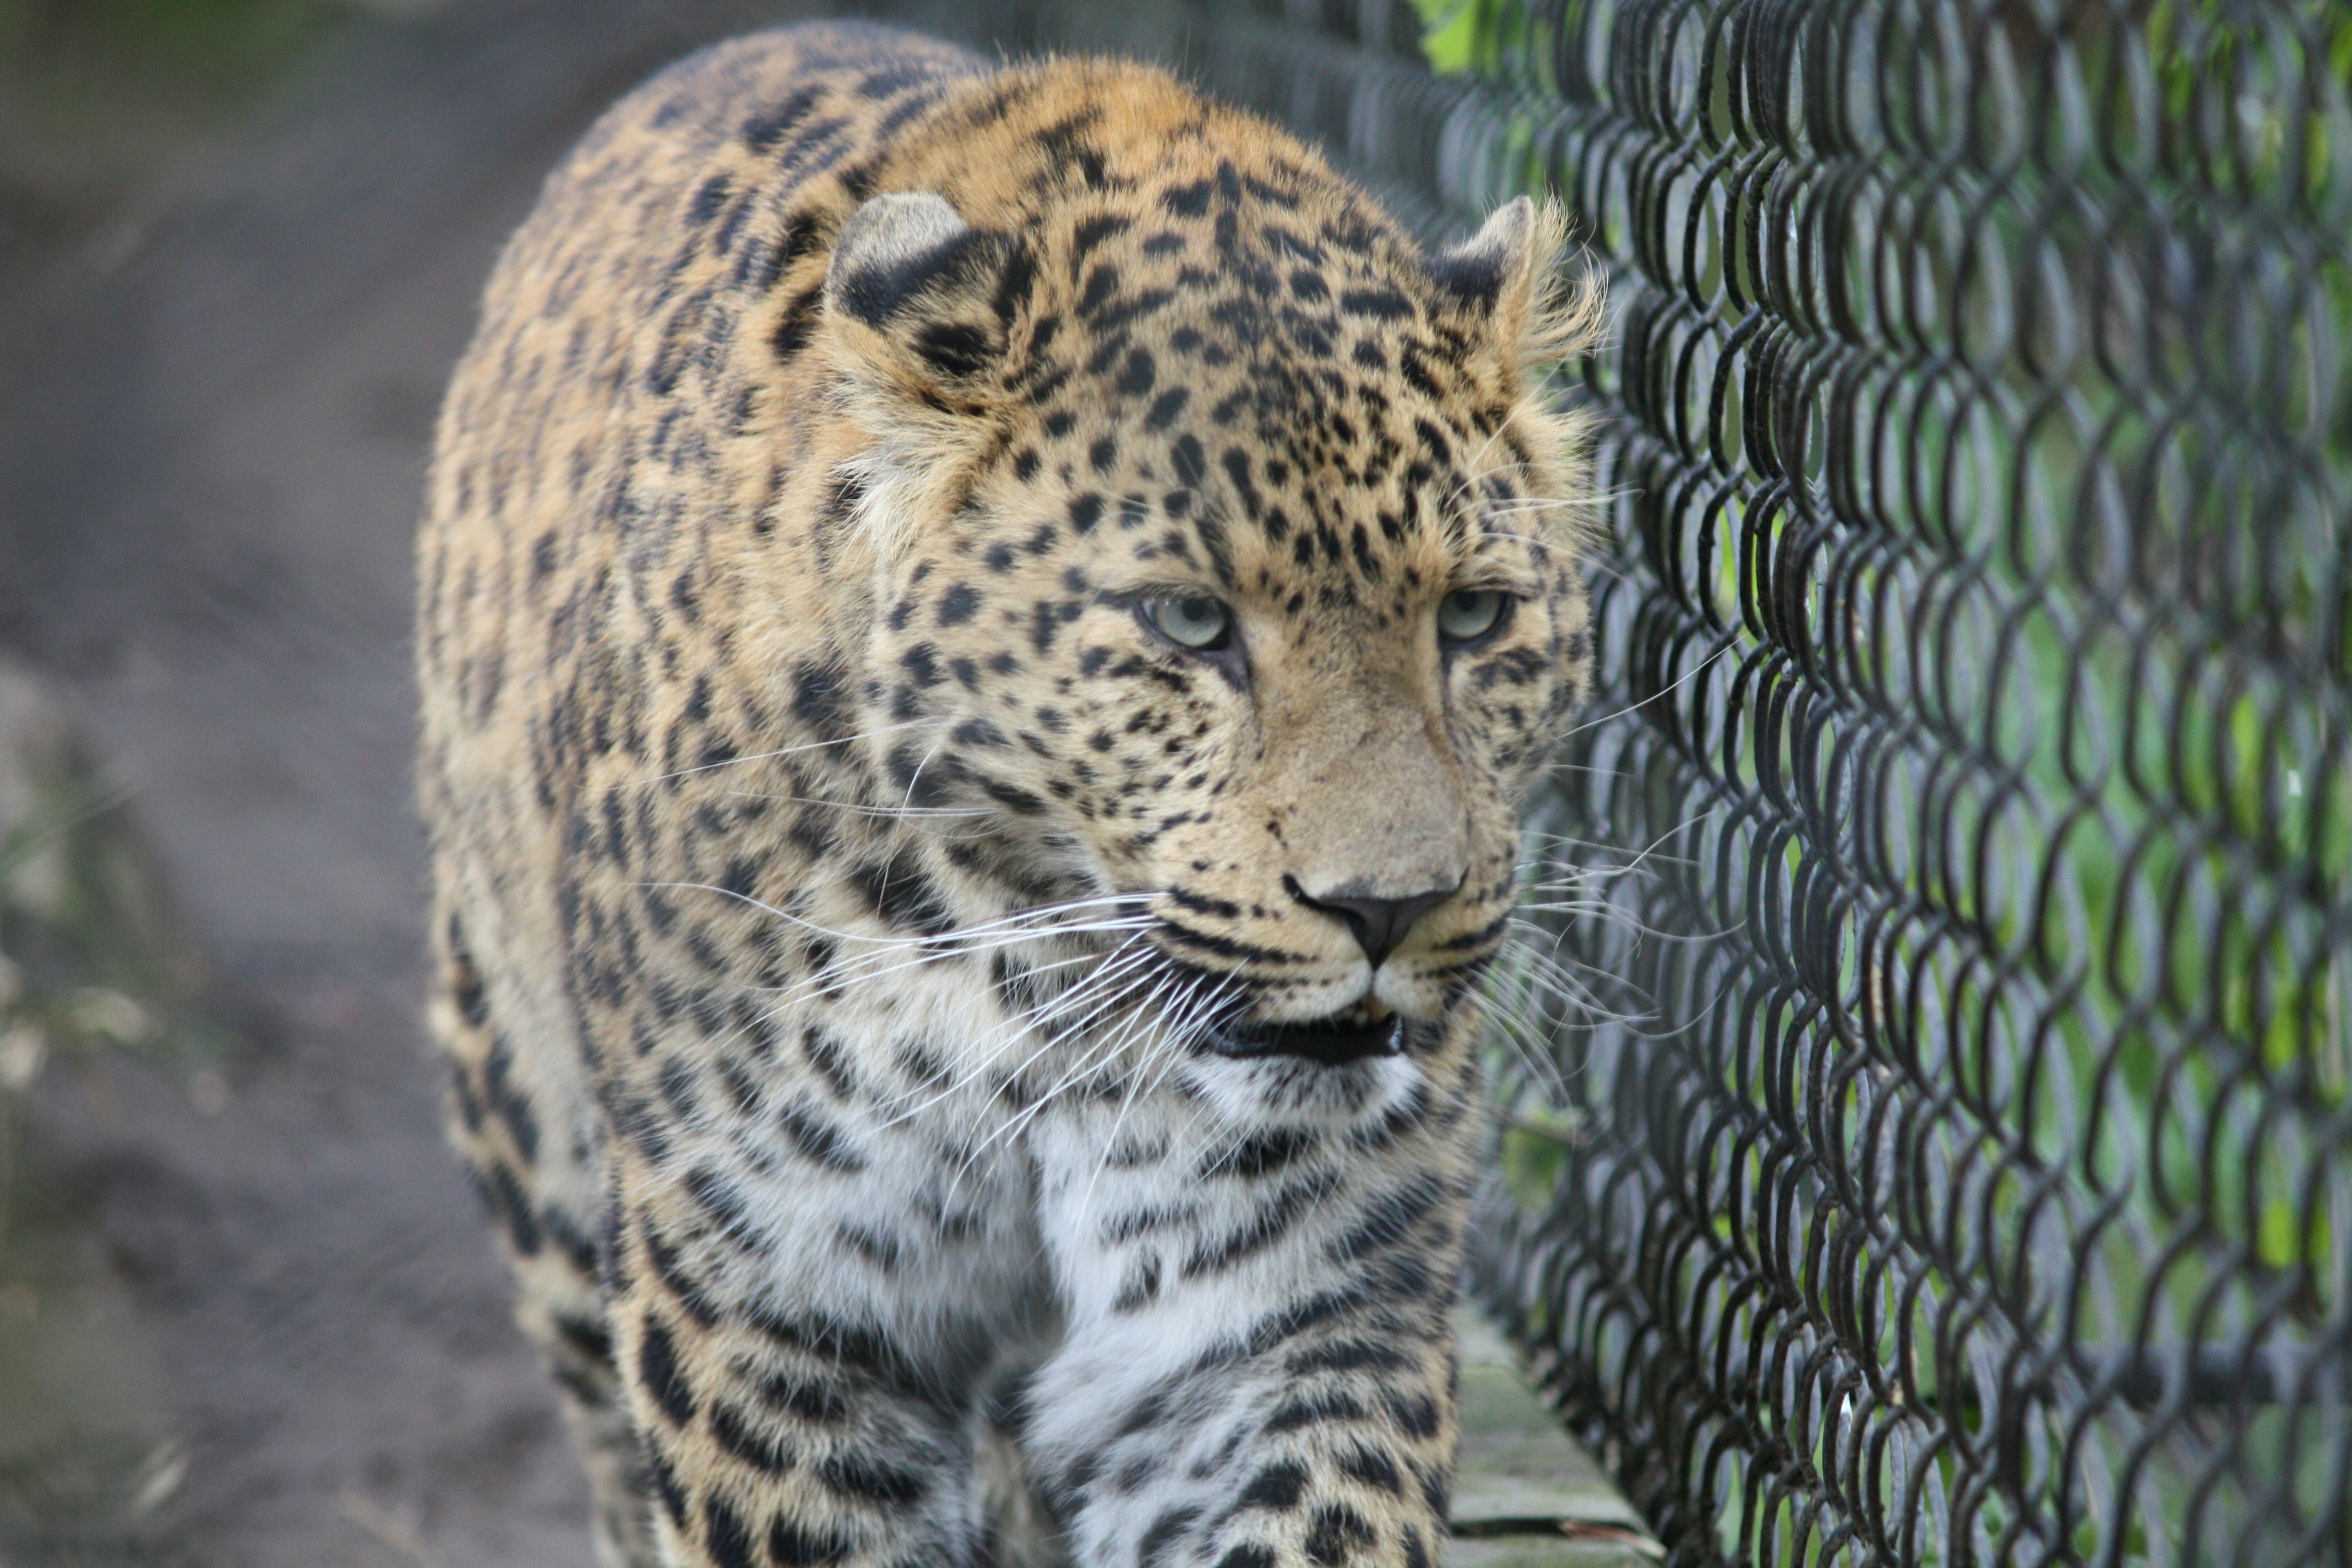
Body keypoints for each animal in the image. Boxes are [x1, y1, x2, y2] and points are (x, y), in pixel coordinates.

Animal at [416, 21, 1598, 1568]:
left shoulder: (1286, 1320)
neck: (1033, 980)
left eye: (1471, 617)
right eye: (1187, 621)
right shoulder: (770, 1301)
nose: (1387, 909)